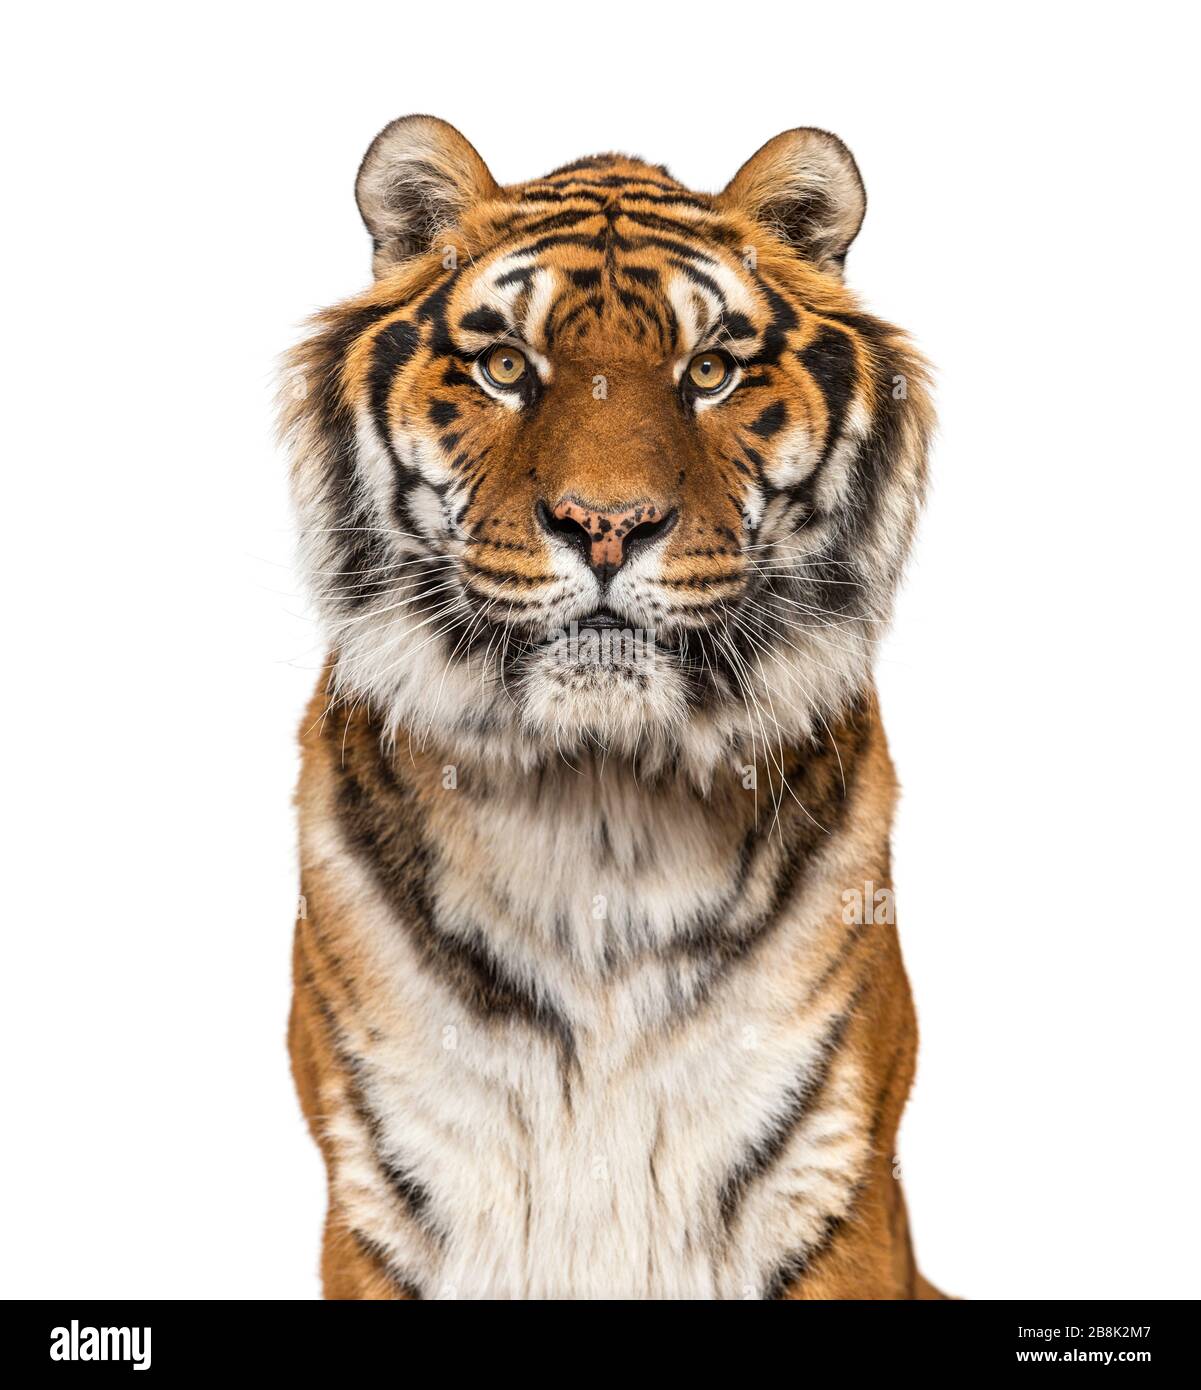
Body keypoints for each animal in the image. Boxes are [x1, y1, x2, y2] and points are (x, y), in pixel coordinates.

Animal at [281, 114, 943, 1300]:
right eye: (505, 366)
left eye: (710, 371)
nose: (604, 523)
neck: (596, 809)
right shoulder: (381, 1185)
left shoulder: (830, 1176)